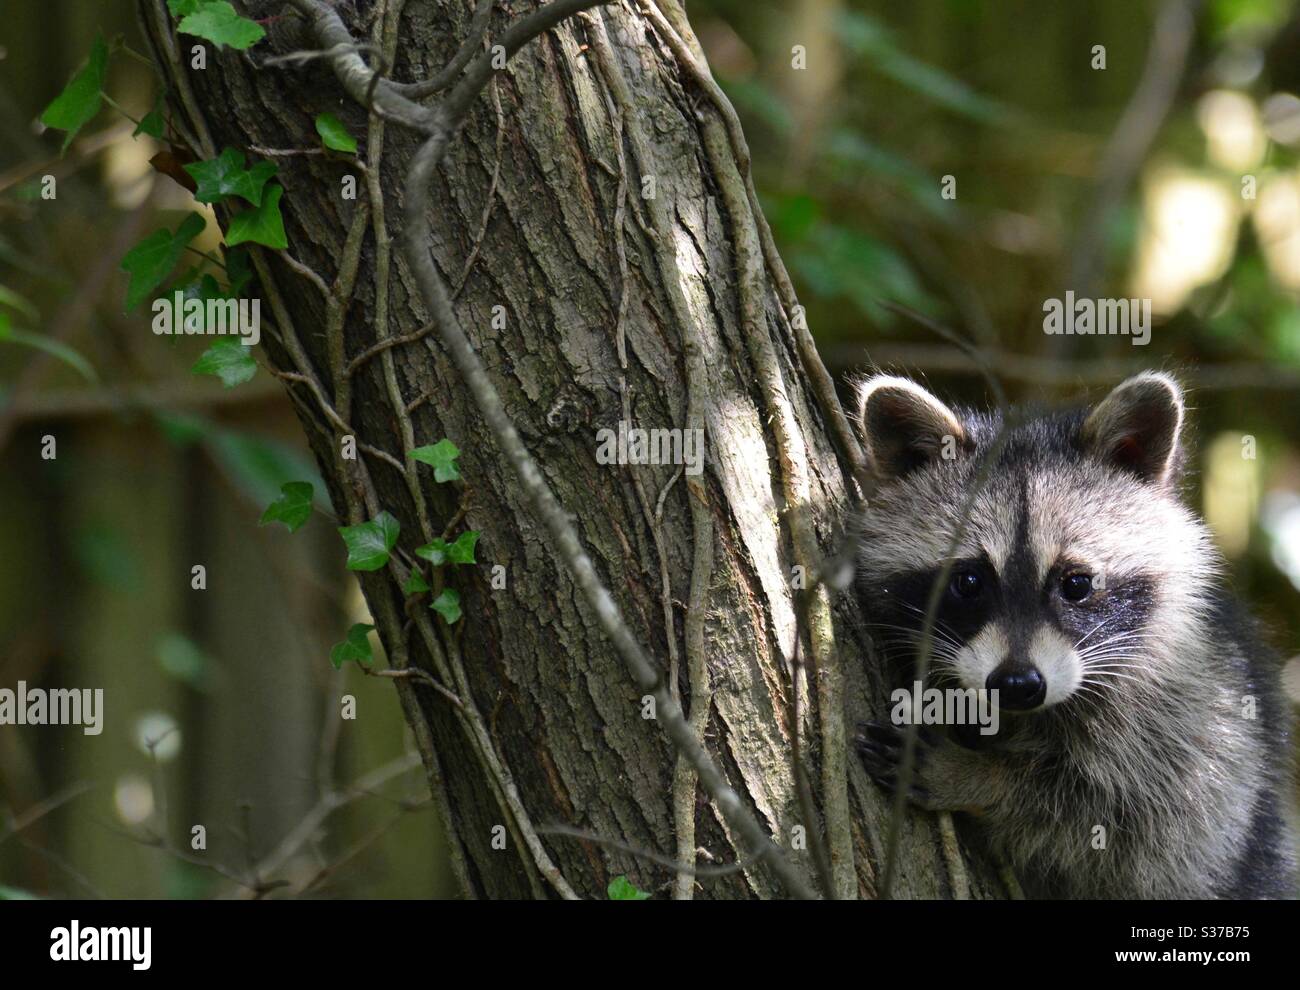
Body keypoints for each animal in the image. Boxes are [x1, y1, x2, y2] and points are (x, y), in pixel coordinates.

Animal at [852, 371, 1298, 899]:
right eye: (969, 582)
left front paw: (984, 778)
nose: (1018, 685)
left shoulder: (1186, 707)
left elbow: (1125, 820)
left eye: (1077, 584)